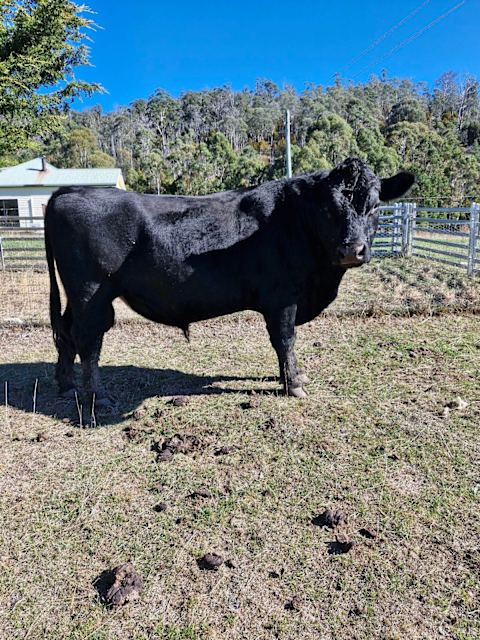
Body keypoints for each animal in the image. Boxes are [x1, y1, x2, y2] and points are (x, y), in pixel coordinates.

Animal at [45, 157, 414, 408]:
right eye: (327, 209)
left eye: (375, 206)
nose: (352, 250)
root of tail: (69, 191)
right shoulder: (282, 298)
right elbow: (285, 340)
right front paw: (293, 384)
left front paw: (290, 376)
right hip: (91, 293)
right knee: (88, 340)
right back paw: (99, 397)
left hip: (79, 297)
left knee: (67, 333)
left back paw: (66, 385)